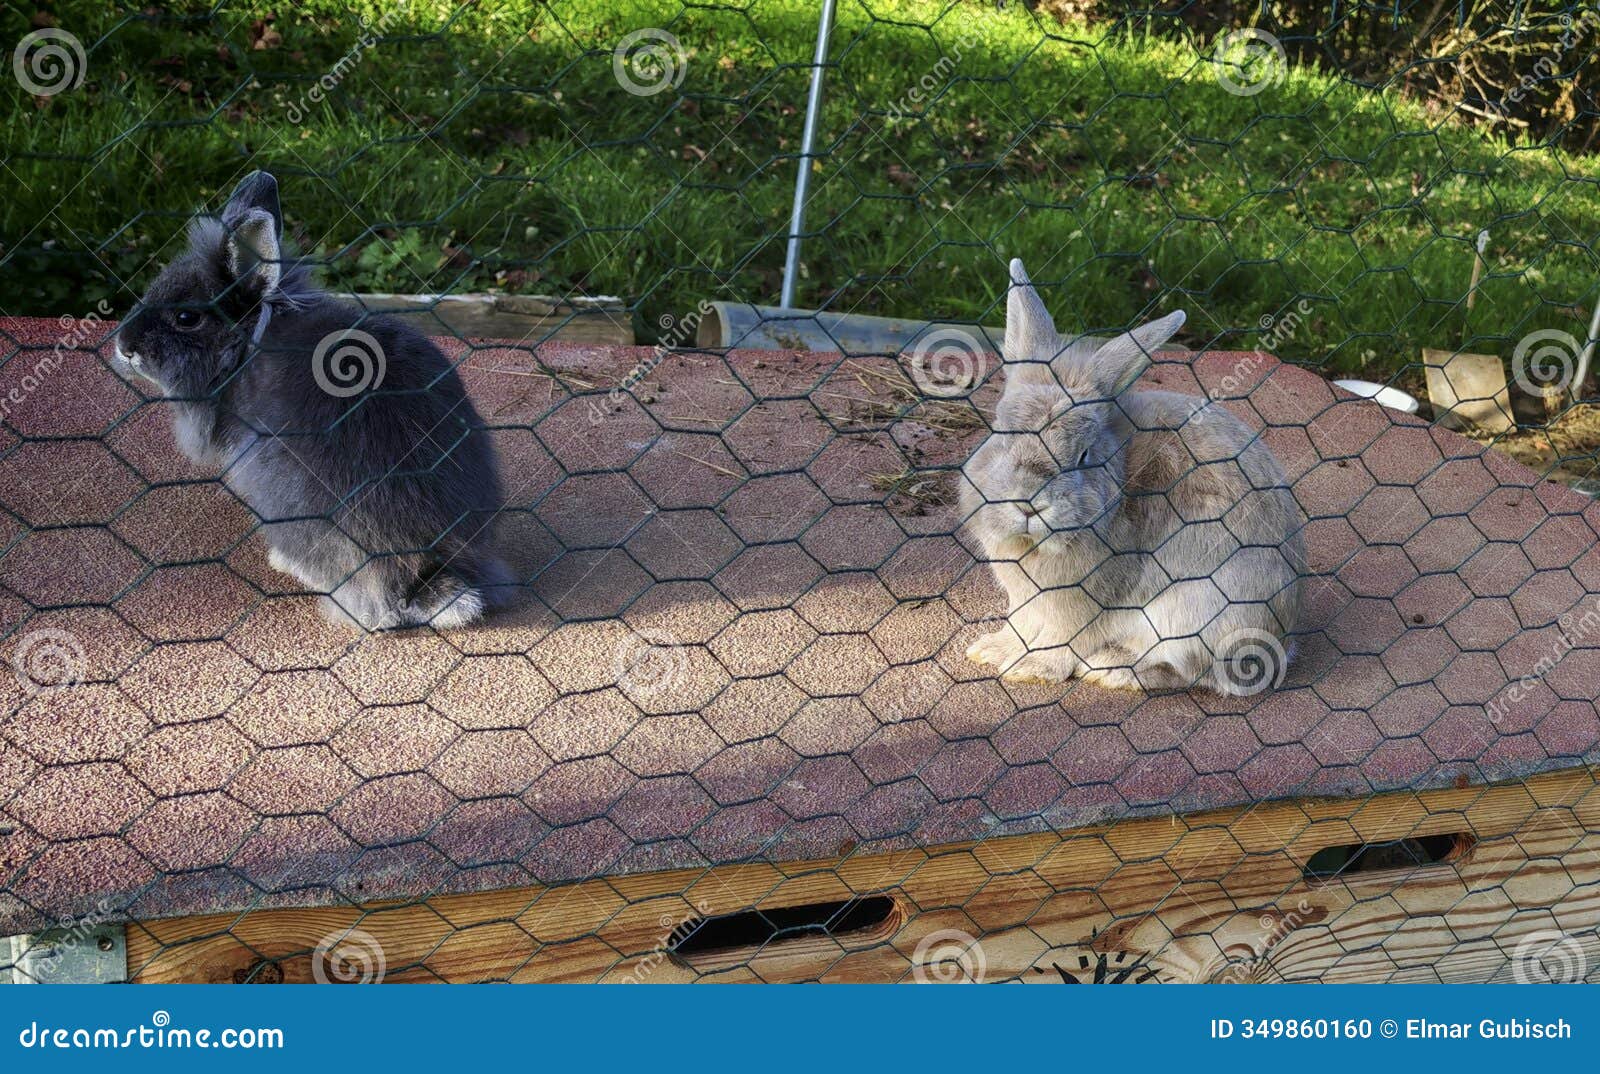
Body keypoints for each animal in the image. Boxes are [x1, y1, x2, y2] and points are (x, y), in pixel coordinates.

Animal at [958, 258, 1303, 695]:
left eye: (1084, 455)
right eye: (1001, 432)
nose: (1029, 503)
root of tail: (1282, 639)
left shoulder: (1080, 607)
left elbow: (1061, 641)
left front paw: (1028, 667)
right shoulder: (1026, 602)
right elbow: (1021, 623)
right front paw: (992, 649)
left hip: (1194, 615)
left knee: (1191, 672)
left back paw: (1110, 668)